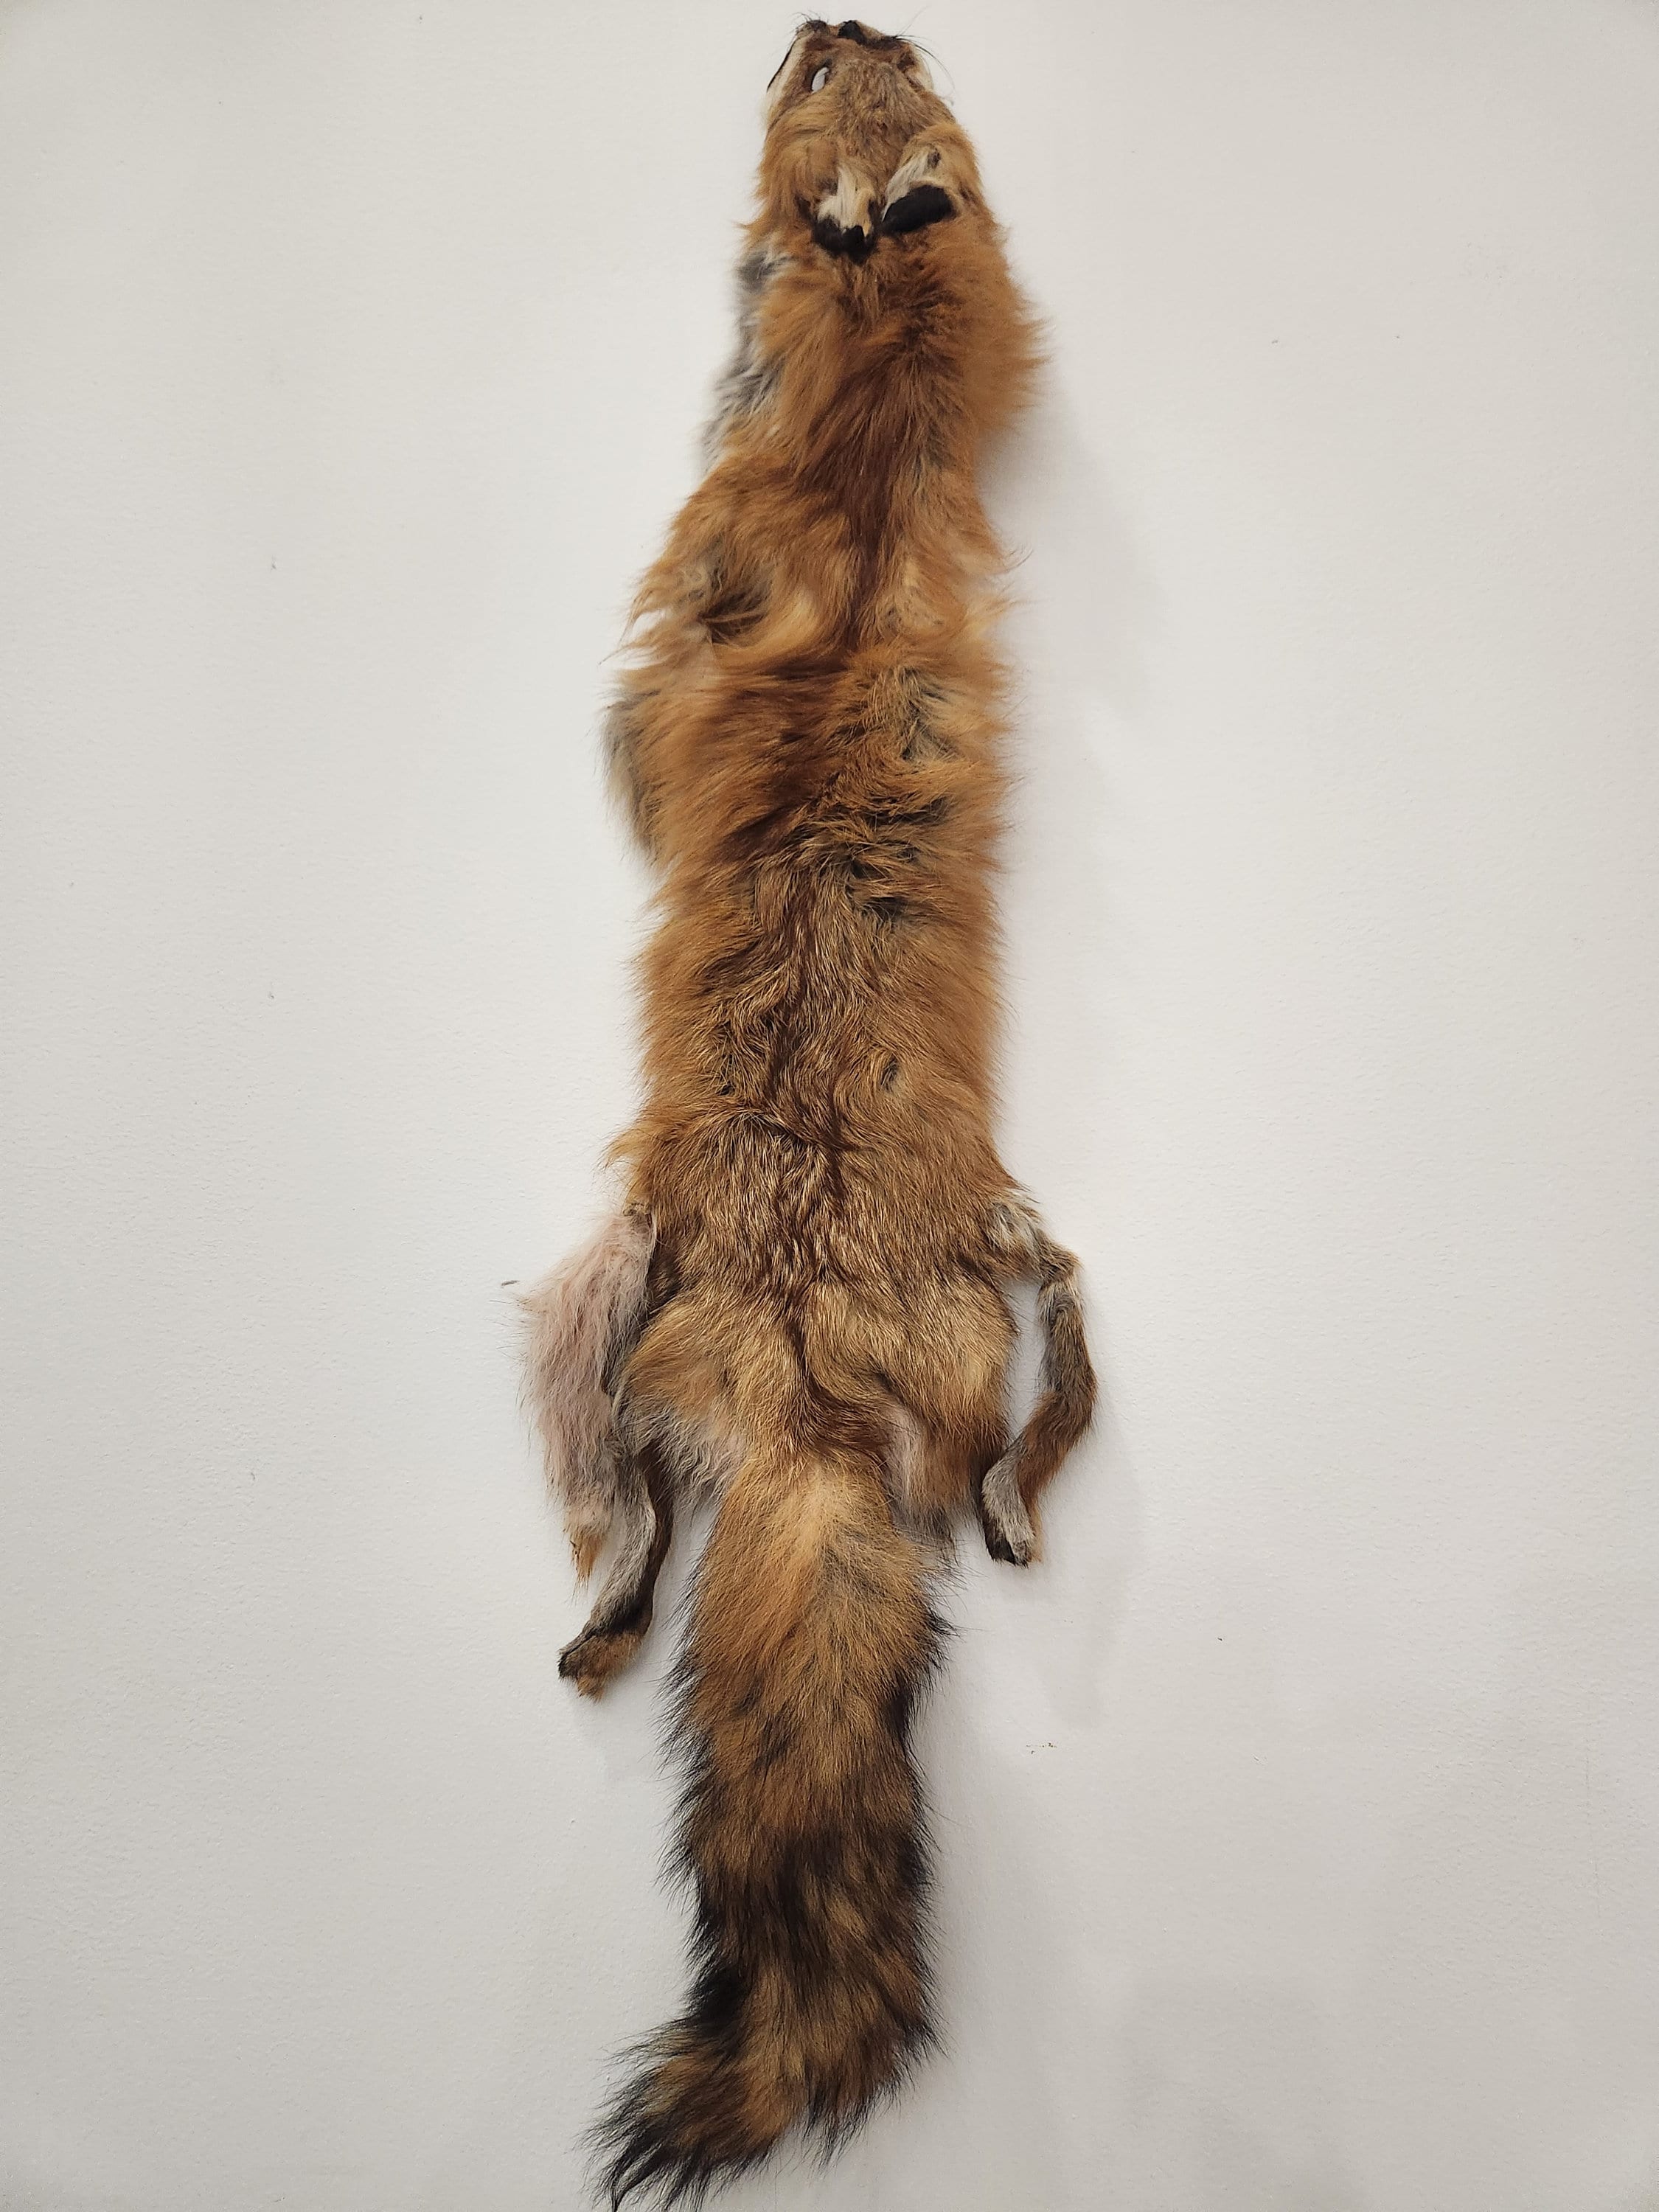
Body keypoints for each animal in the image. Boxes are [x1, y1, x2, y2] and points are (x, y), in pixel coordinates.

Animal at [521, 19, 1097, 2206]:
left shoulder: (687, 570)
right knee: (1032, 1407)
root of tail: (803, 1392)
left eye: (832, 84)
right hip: (957, 1334)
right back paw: (1007, 1506)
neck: (859, 441)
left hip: (609, 1323)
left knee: (625, 1519)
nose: (838, 15)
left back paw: (606, 1620)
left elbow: (624, 722)